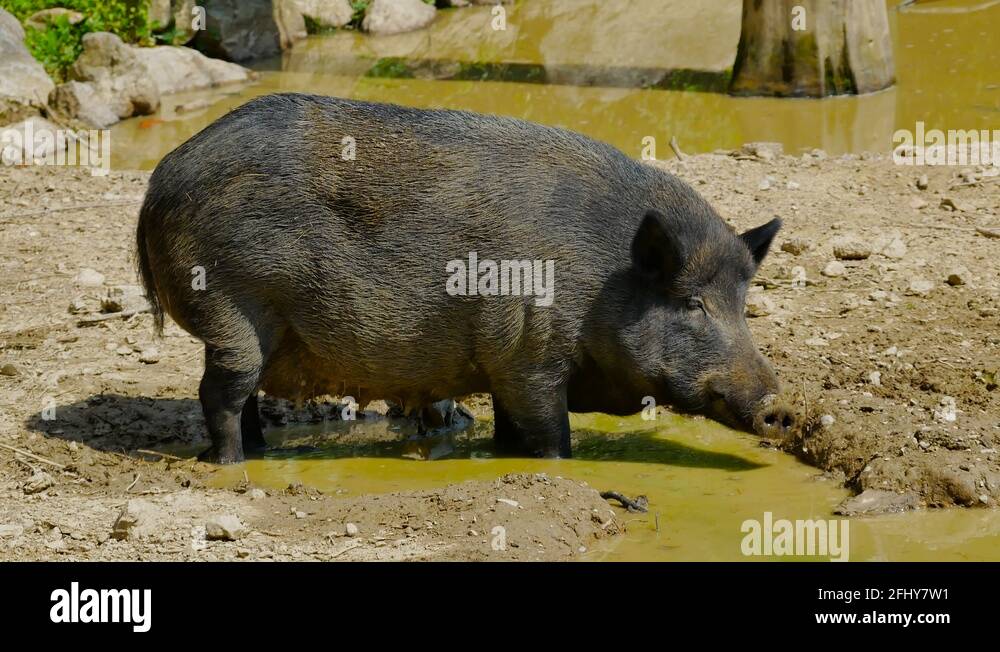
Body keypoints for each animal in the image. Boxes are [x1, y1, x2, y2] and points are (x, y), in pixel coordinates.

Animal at [136, 93, 795, 464]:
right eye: (692, 304)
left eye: (742, 302)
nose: (782, 408)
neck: (600, 278)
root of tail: (160, 179)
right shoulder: (530, 356)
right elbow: (551, 433)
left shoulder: (503, 367)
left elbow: (509, 427)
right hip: (230, 308)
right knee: (219, 394)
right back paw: (233, 466)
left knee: (238, 398)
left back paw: (257, 452)